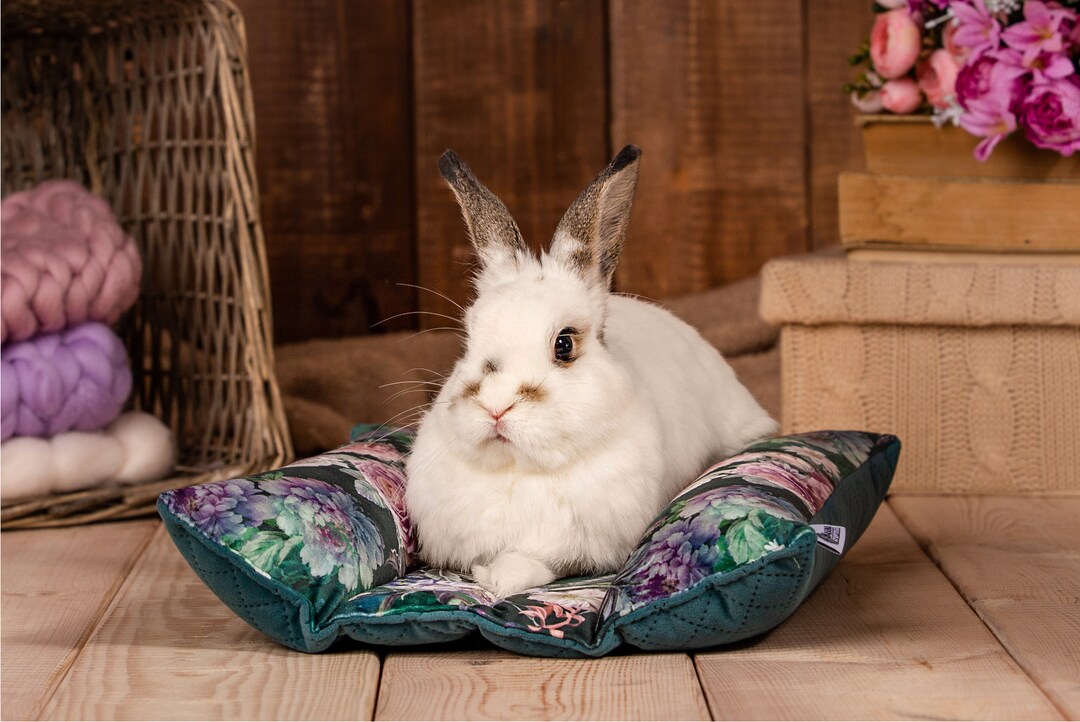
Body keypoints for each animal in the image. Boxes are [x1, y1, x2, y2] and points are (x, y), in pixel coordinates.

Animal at [404, 145, 778, 598]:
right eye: (468, 341)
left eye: (564, 345)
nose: (496, 407)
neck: (522, 468)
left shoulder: (584, 548)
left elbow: (541, 563)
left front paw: (500, 577)